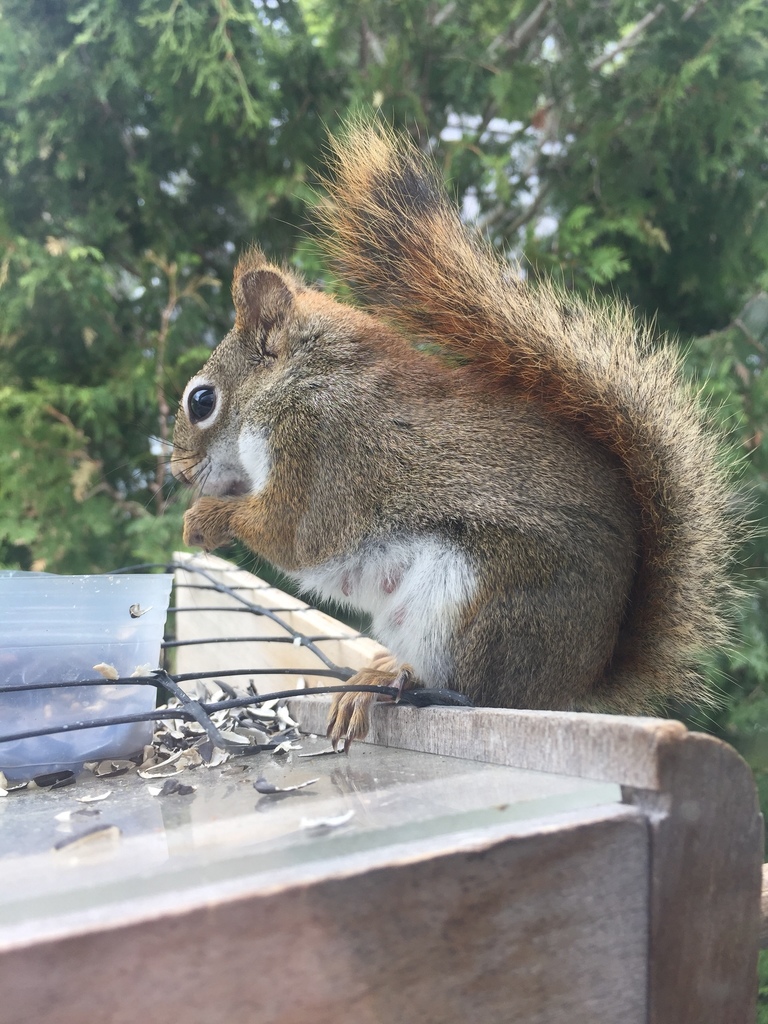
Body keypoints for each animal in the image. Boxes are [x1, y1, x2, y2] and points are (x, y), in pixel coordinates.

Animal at [171, 120, 735, 751]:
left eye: (202, 401)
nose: (177, 470)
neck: (299, 381)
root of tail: (577, 679)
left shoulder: (322, 450)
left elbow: (290, 534)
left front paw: (206, 519)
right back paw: (378, 671)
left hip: (474, 605)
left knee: (473, 690)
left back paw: (404, 683)